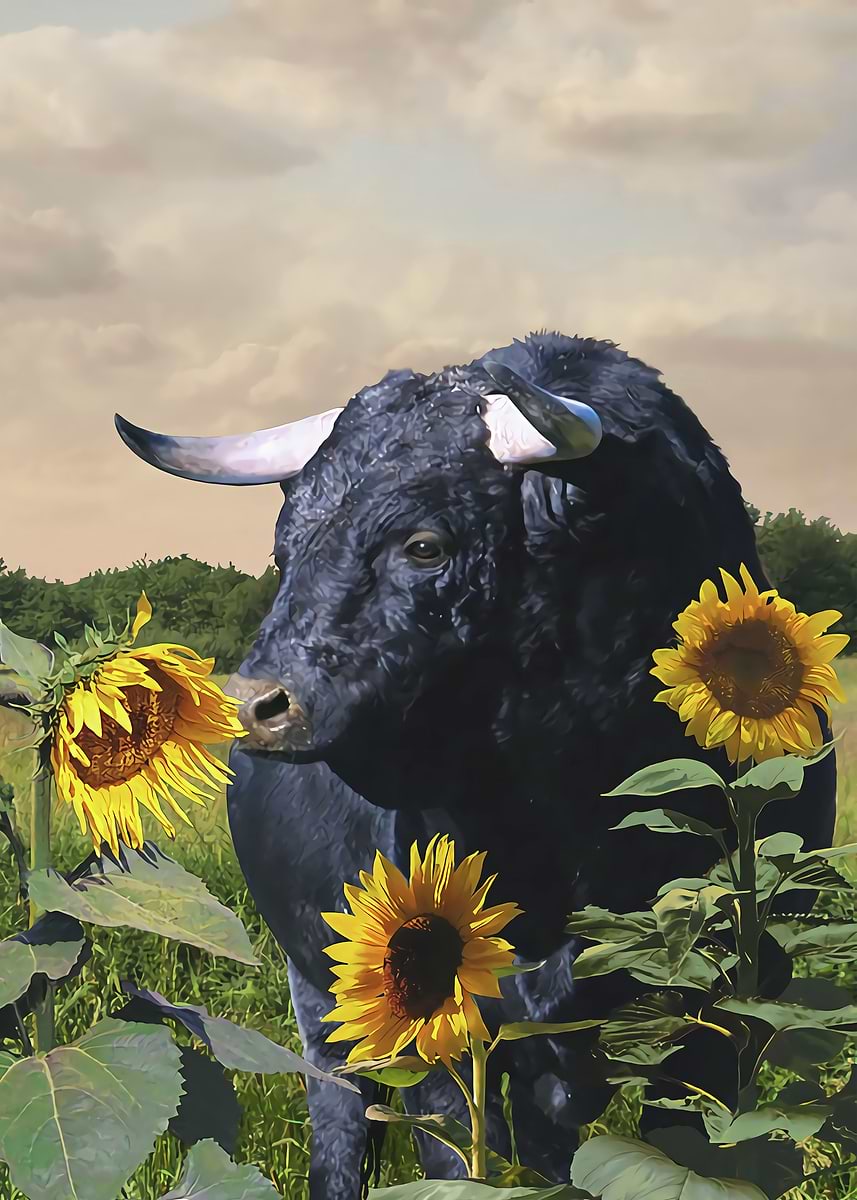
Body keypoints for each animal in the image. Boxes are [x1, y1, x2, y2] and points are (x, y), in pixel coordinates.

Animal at [116, 331, 836, 1198]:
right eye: (285, 547)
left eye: (424, 545)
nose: (255, 705)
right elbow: (460, 1154)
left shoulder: (728, 1011)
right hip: (318, 997)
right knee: (343, 1123)